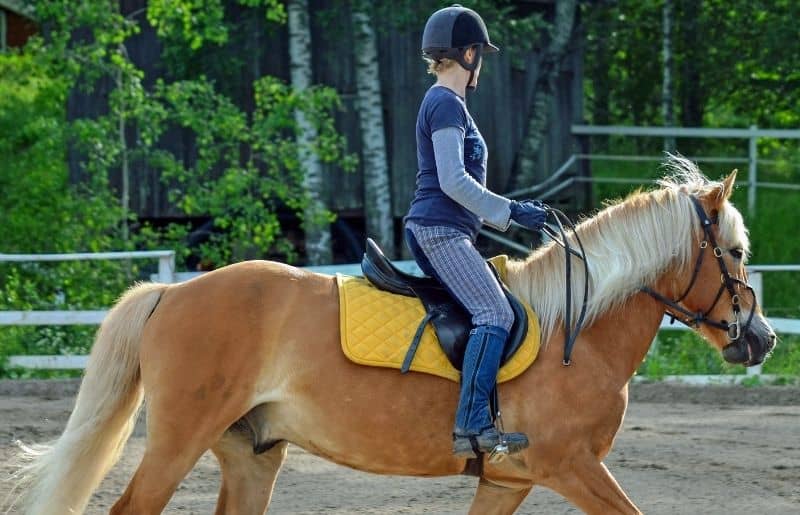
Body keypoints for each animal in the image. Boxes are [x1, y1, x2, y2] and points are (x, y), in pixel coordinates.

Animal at [9, 156, 776, 514]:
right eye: (736, 253)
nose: (761, 339)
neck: (577, 331)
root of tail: (171, 291)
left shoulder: (509, 480)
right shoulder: (571, 465)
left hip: (253, 453)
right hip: (178, 440)